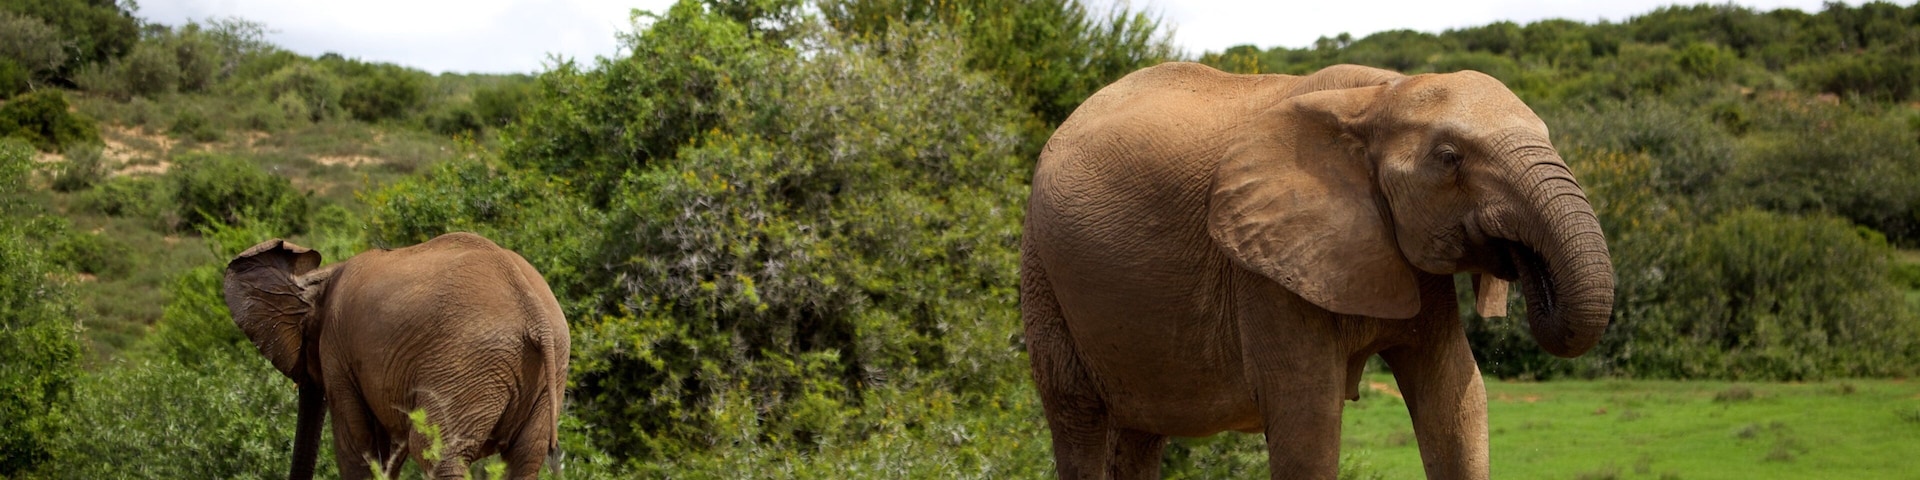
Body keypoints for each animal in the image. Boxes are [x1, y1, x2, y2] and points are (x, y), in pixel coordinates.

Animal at [224, 232, 570, 480]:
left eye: (306, 337)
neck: (324, 275)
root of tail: (535, 314)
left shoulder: (337, 350)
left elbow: (358, 446)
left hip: (469, 366)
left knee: (437, 453)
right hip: (545, 373)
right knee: (526, 459)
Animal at [1020, 62, 1614, 479]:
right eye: (1449, 158)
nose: (1520, 257)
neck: (1377, 97)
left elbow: (1456, 400)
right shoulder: (1263, 270)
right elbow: (1308, 420)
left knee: (1141, 432)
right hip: (1041, 269)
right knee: (1076, 417)